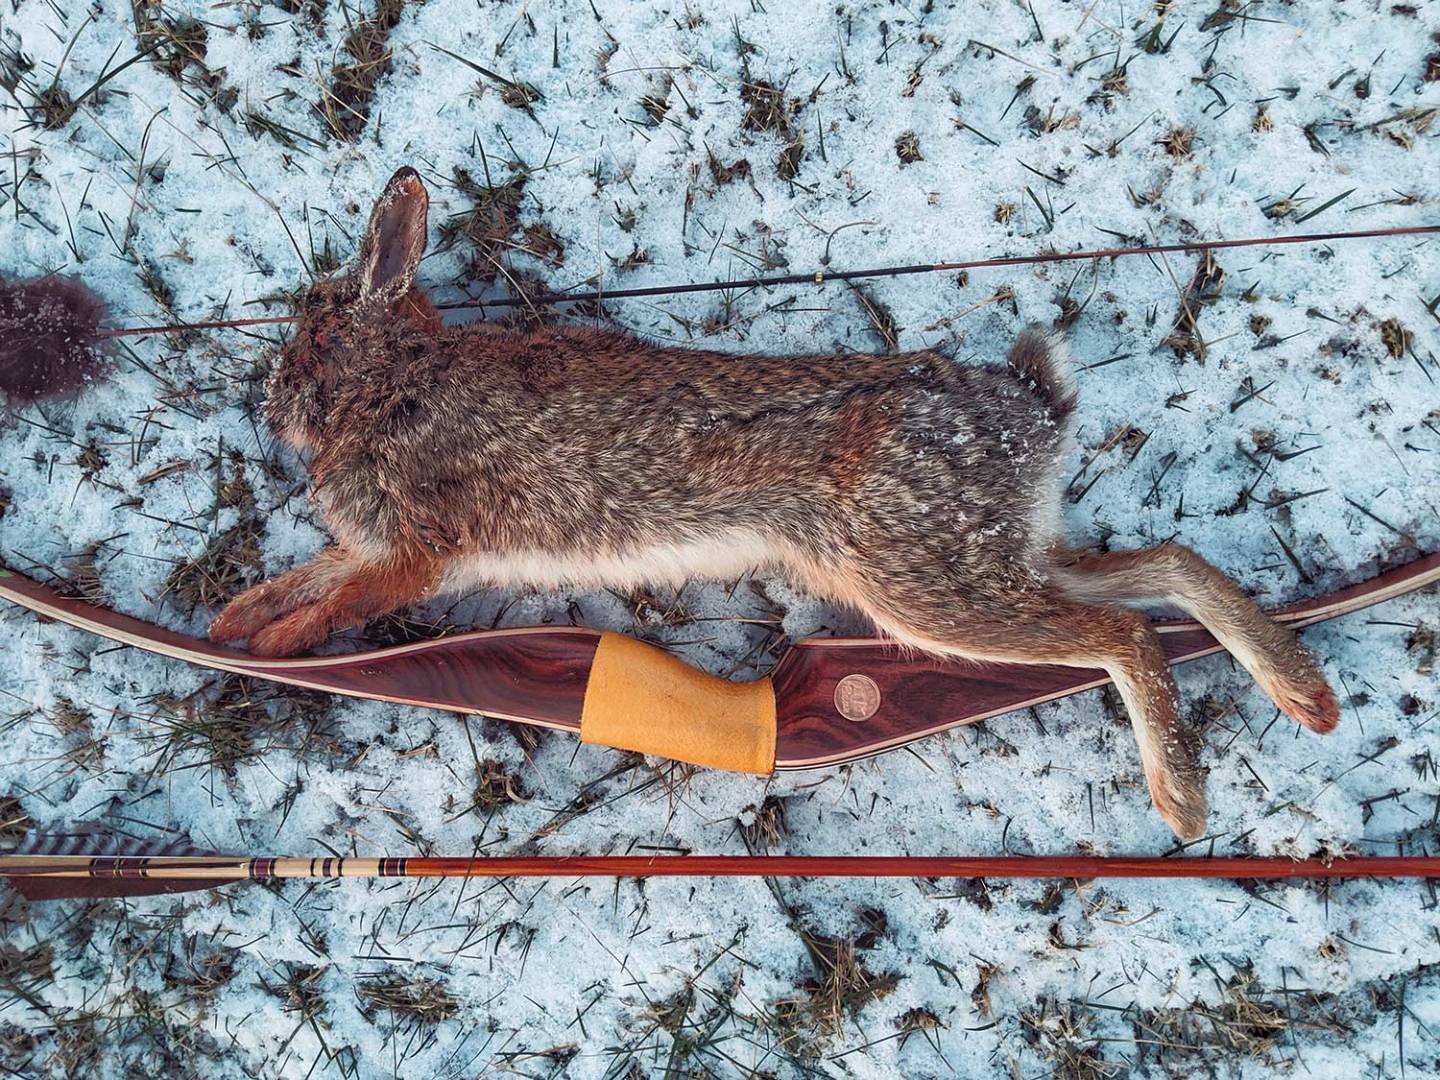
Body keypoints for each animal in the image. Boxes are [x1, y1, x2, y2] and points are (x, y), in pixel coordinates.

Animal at [210, 166, 1340, 840]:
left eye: (311, 333)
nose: (266, 403)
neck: (394, 381)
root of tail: (1031, 411)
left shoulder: (413, 546)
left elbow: (342, 599)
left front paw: (268, 651)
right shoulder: (368, 545)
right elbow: (307, 576)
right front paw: (233, 622)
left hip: (921, 576)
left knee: (1122, 633)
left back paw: (1182, 802)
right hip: (992, 546)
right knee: (1166, 566)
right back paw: (1303, 693)